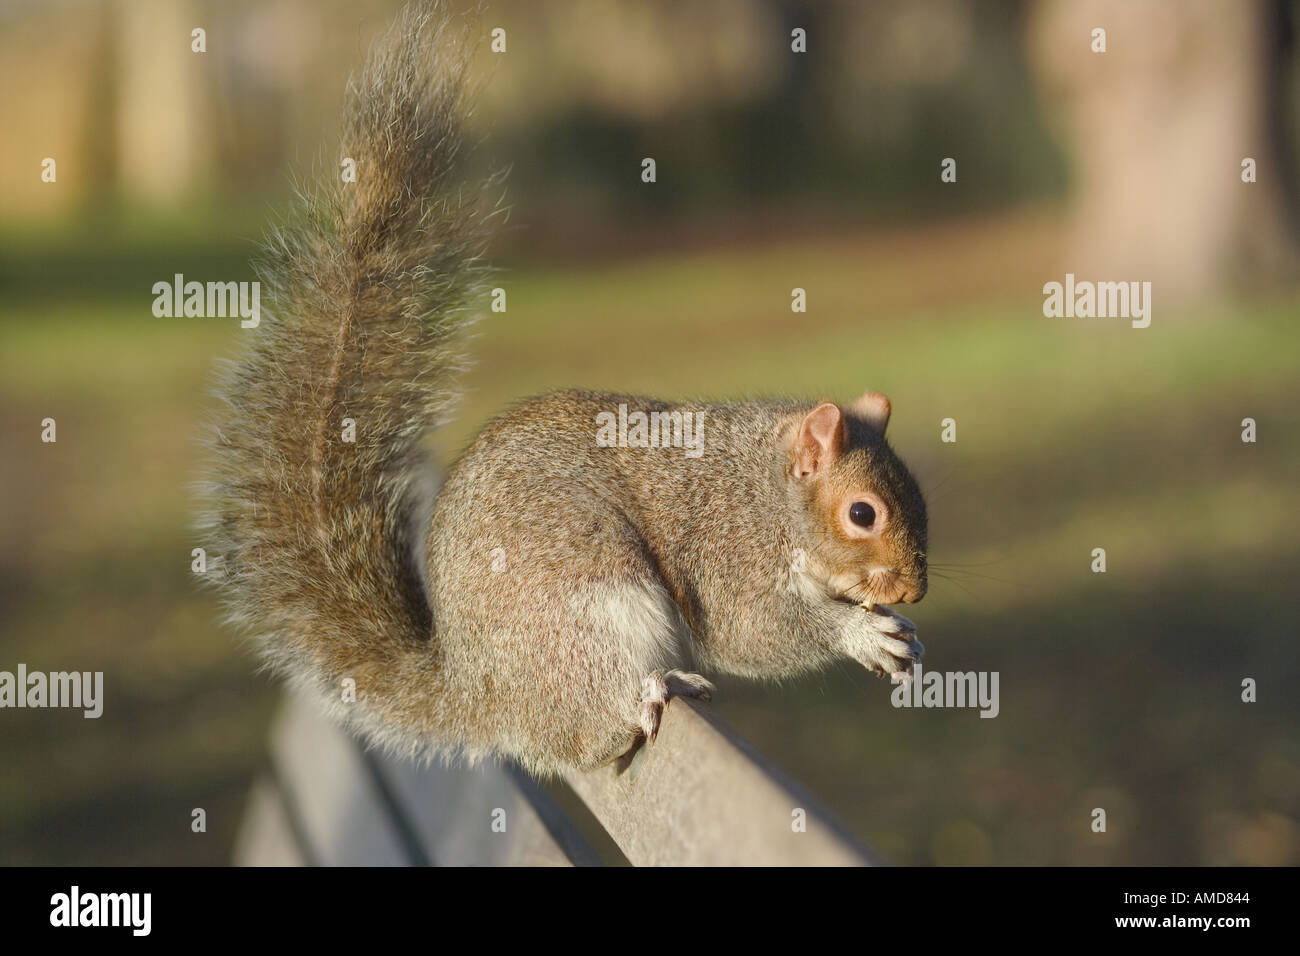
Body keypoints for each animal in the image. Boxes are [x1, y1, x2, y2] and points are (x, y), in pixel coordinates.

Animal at [200, 1, 929, 776]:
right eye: (861, 514)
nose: (914, 588)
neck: (767, 490)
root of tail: (482, 696)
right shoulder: (728, 549)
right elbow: (754, 631)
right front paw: (859, 634)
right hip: (585, 603)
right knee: (582, 734)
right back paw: (646, 695)